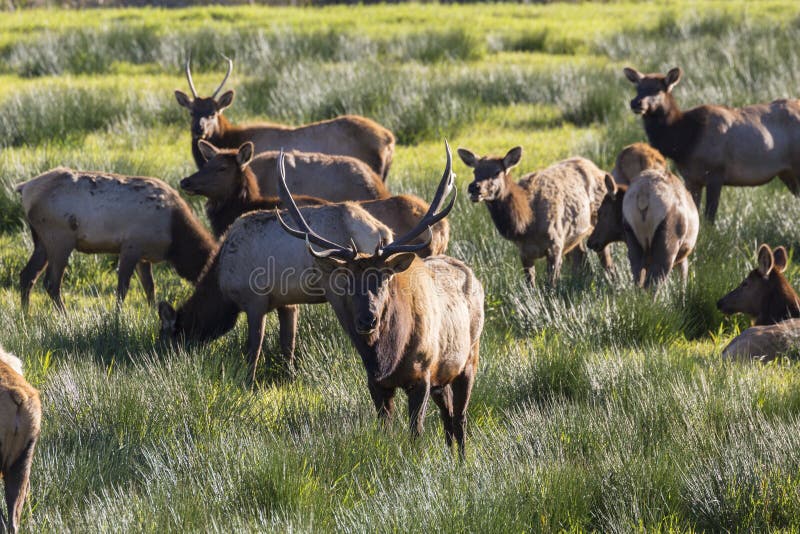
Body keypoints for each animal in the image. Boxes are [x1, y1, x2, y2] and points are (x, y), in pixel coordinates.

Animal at [16, 168, 216, 310]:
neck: (174, 239)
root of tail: (24, 188)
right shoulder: (131, 246)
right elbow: (122, 289)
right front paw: (117, 318)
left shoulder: (143, 255)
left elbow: (150, 287)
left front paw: (152, 313)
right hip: (59, 238)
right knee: (51, 283)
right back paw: (65, 317)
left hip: (41, 241)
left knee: (27, 275)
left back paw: (26, 316)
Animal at [159, 146, 453, 382]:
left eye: (170, 334)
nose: (163, 358)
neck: (222, 283)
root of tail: (383, 231)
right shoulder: (286, 302)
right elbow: (287, 346)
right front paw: (289, 378)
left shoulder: (254, 299)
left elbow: (254, 349)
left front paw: (247, 384)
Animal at [276, 141, 484, 458]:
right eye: (347, 280)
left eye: (384, 277)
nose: (368, 318)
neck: (387, 357)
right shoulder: (376, 383)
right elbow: (385, 430)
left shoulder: (421, 374)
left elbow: (416, 432)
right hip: (444, 376)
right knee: (448, 417)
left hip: (469, 359)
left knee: (460, 419)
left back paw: (462, 459)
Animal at [458, 146, 612, 285]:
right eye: (475, 171)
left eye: (497, 172)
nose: (474, 187)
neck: (527, 225)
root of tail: (596, 168)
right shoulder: (523, 251)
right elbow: (530, 285)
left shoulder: (555, 243)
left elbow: (550, 285)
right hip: (574, 234)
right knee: (581, 258)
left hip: (598, 222)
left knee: (605, 259)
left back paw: (611, 281)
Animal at [623, 66, 800, 223]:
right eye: (637, 88)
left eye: (657, 89)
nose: (635, 102)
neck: (684, 143)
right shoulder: (691, 178)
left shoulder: (716, 172)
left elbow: (709, 218)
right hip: (786, 172)